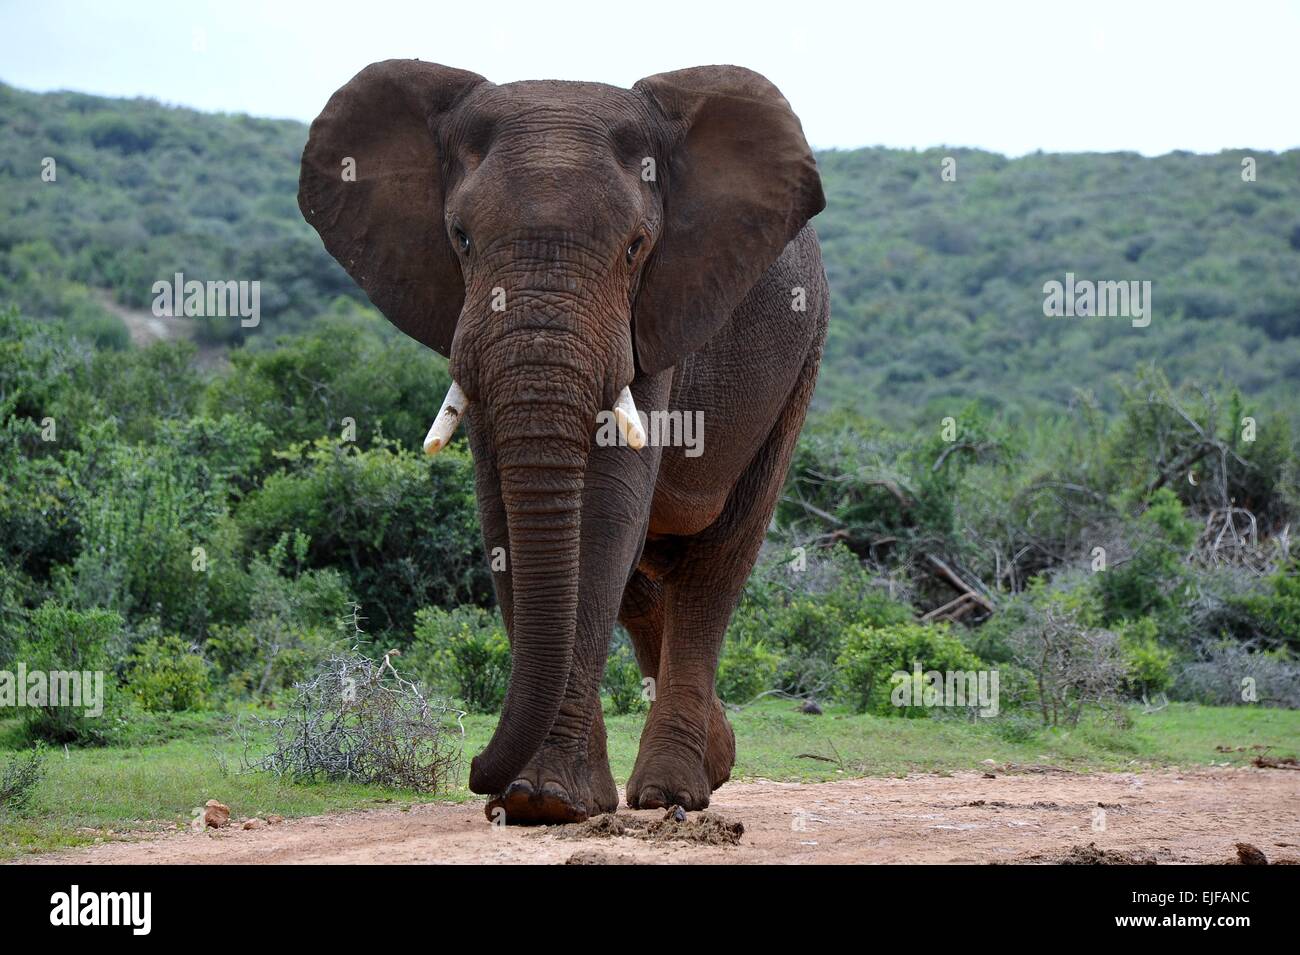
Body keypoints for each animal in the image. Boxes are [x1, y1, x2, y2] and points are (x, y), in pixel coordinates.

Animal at [299, 59, 828, 824]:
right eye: (460, 237)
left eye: (636, 247)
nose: (473, 772)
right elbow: (502, 512)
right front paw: (536, 799)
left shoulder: (658, 306)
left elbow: (606, 510)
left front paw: (547, 799)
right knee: (650, 580)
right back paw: (716, 756)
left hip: (800, 362)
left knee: (718, 561)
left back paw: (676, 791)